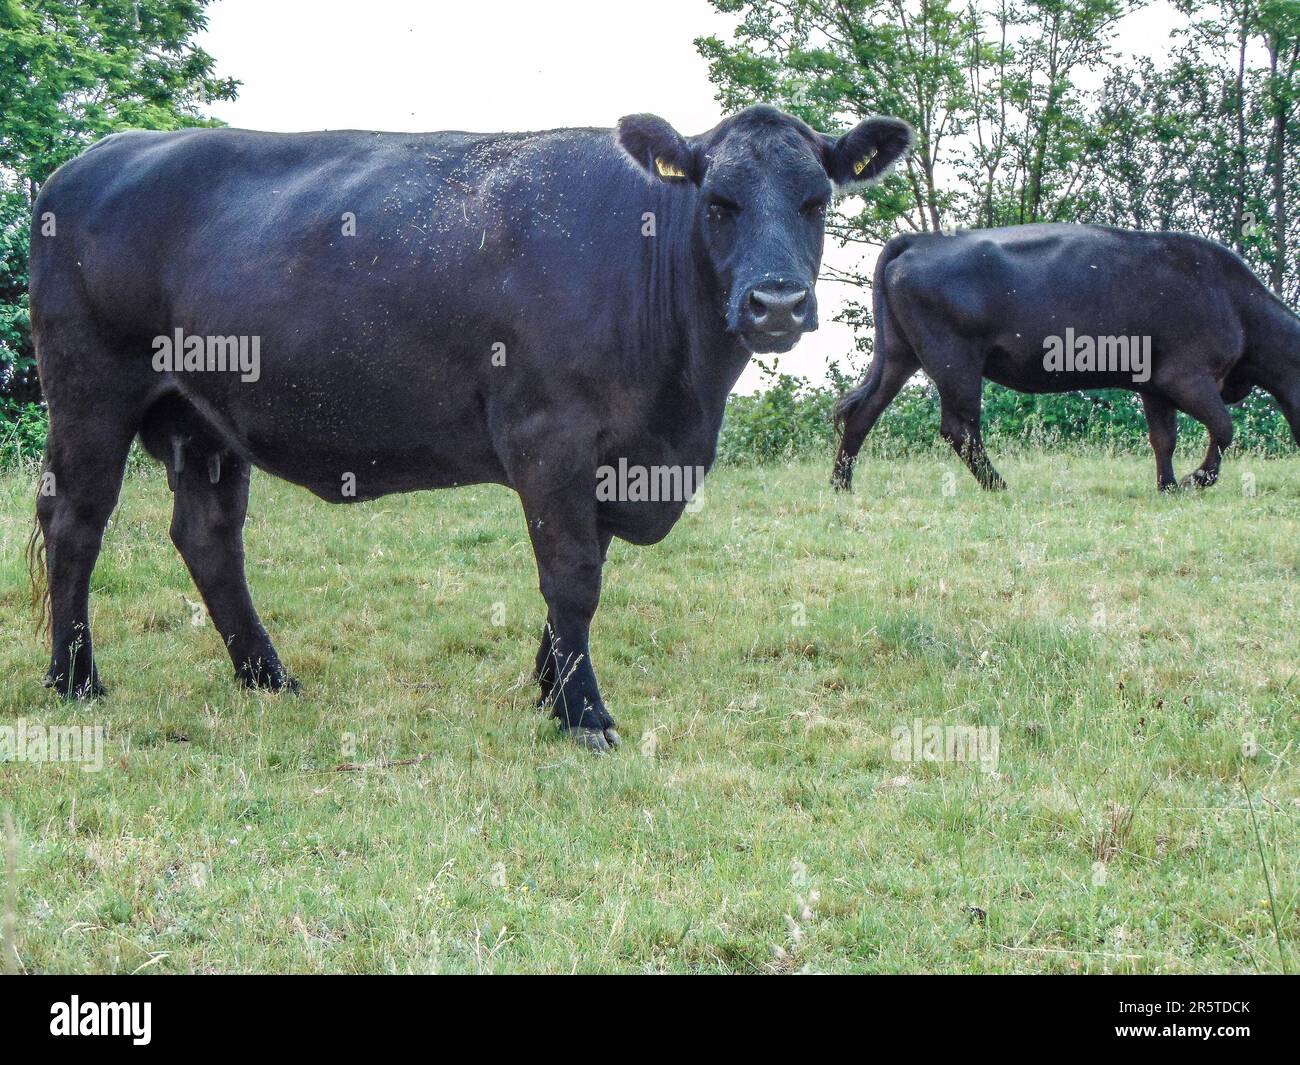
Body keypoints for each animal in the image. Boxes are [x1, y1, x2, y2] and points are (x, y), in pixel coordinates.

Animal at [27, 105, 912, 751]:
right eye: (719, 203)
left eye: (817, 200)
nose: (777, 304)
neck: (682, 407)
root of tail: (88, 161)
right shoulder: (551, 436)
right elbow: (573, 576)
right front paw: (584, 715)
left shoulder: (618, 458)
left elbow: (579, 581)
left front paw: (550, 690)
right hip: (90, 394)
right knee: (76, 524)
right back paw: (75, 679)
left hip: (202, 418)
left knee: (208, 538)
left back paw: (266, 676)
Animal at [830, 224, 1300, 492]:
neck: (1238, 306)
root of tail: (921, 240)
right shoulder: (1187, 376)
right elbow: (1224, 428)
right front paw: (1195, 480)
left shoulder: (1154, 383)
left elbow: (1163, 438)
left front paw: (1167, 486)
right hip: (955, 359)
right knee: (959, 429)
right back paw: (999, 485)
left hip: (900, 354)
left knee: (864, 413)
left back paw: (841, 484)